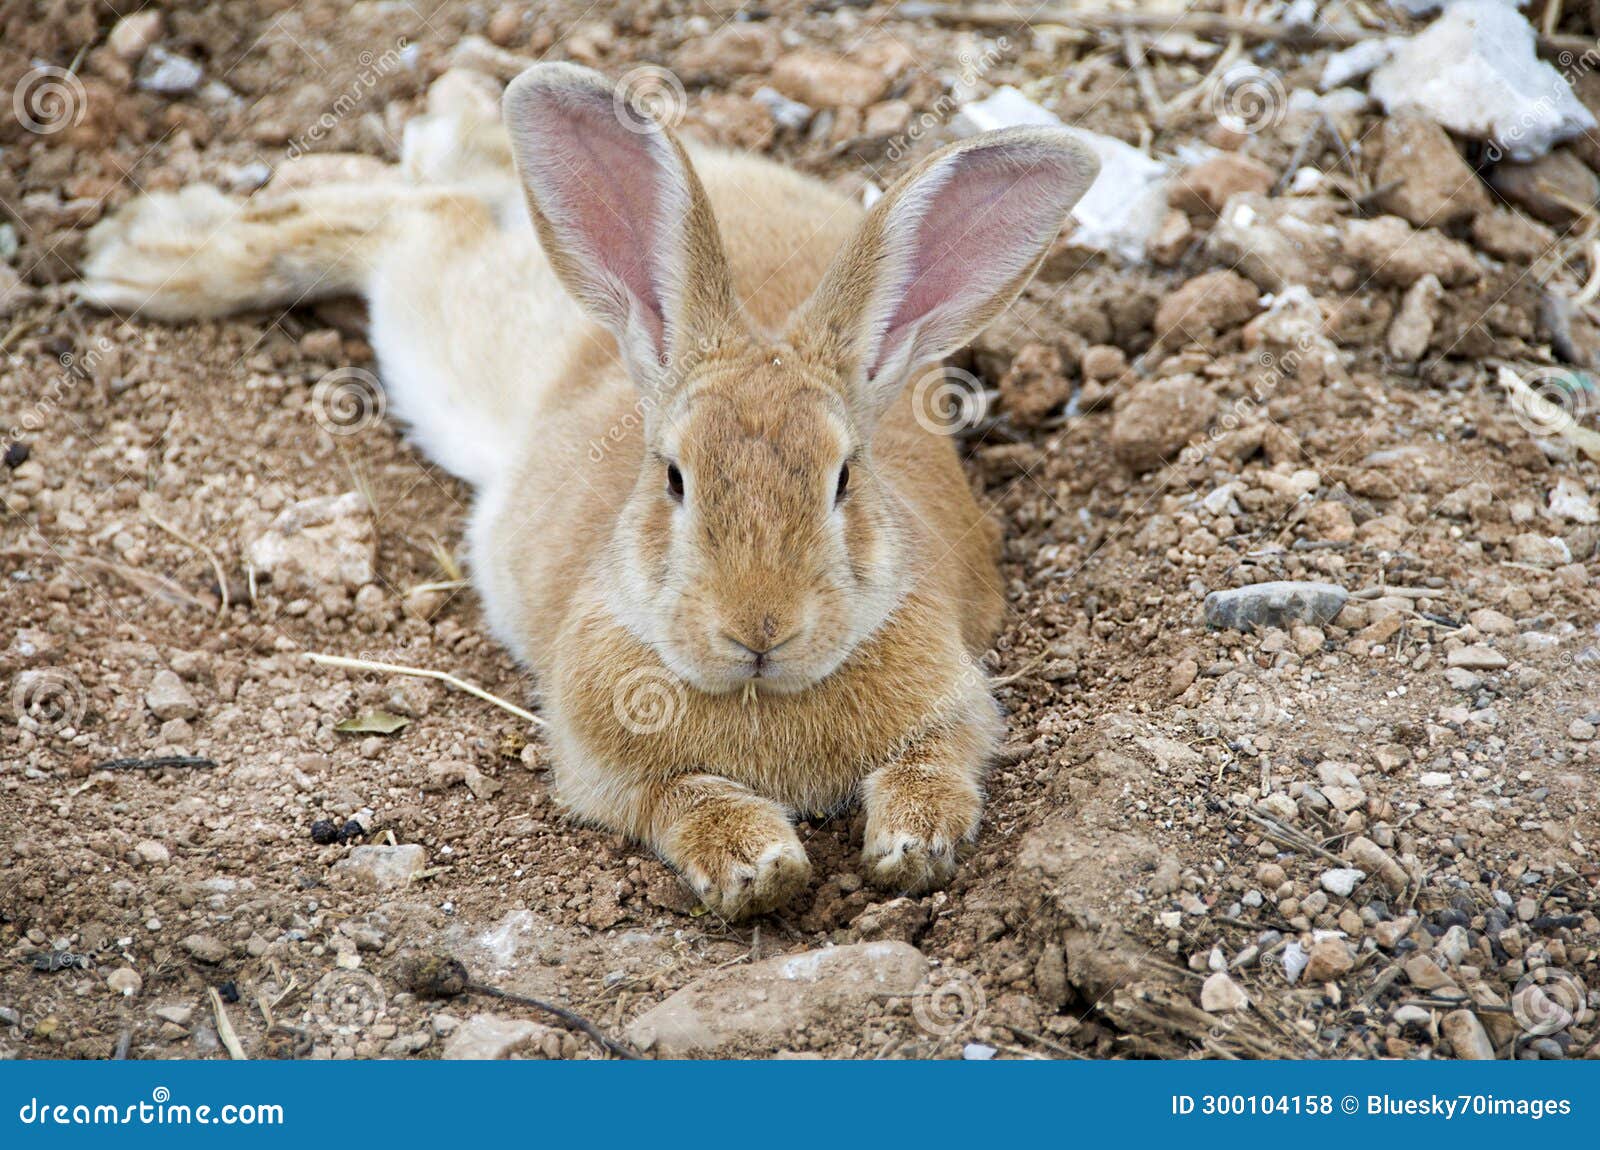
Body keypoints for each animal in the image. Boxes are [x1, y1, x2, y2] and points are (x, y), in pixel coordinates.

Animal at [79, 62, 1100, 919]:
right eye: (673, 477)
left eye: (844, 477)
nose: (759, 630)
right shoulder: (603, 766)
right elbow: (680, 797)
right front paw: (759, 866)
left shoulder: (960, 710)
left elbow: (937, 768)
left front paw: (909, 848)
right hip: (443, 333)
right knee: (417, 218)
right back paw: (143, 258)